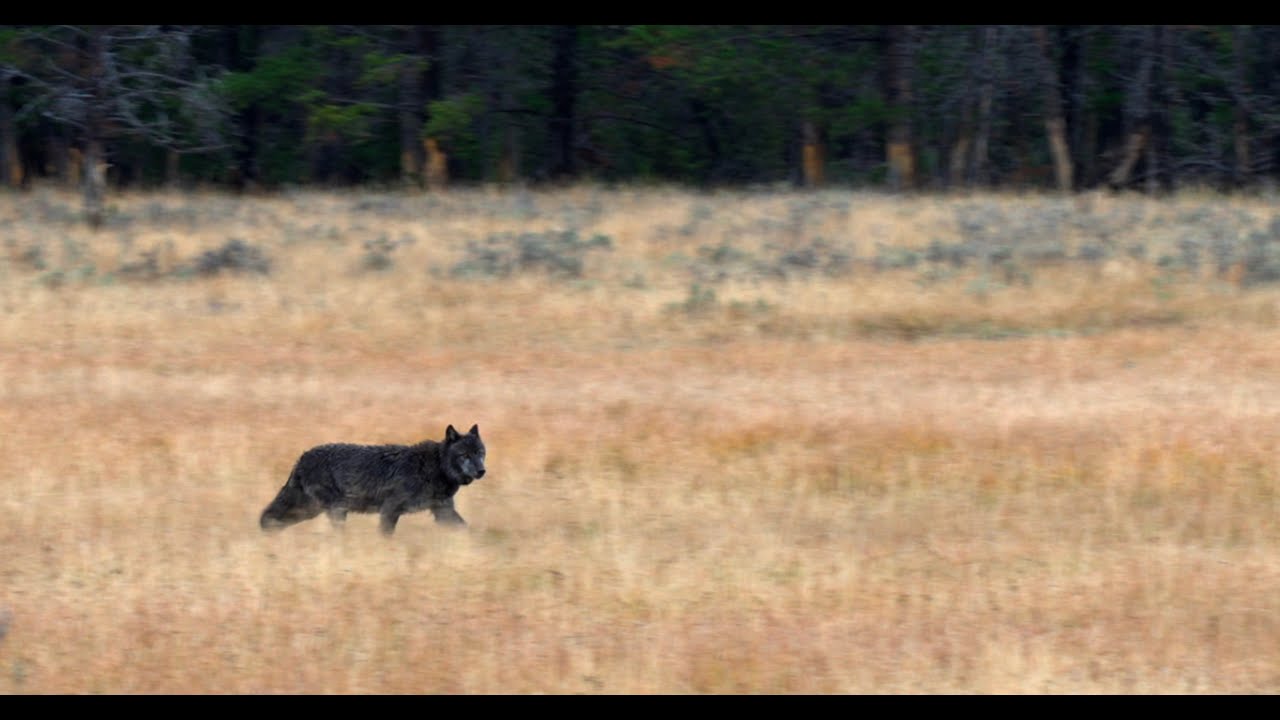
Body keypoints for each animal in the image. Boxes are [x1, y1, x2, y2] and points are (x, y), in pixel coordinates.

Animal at [260, 424, 486, 536]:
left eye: (480, 453)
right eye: (465, 455)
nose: (482, 471)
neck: (435, 466)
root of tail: (302, 457)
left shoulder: (443, 511)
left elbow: (465, 530)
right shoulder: (390, 510)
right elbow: (386, 537)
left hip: (309, 510)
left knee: (270, 517)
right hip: (330, 510)